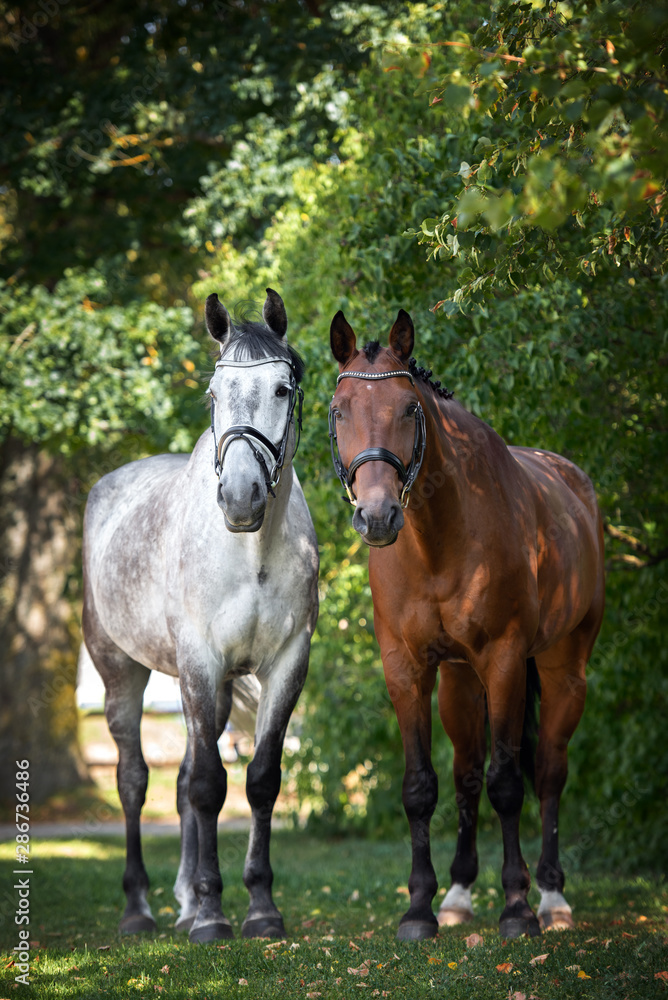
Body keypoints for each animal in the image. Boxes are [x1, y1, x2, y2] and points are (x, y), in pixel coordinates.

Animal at [82, 289, 318, 943]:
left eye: (282, 390)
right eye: (214, 394)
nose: (240, 499)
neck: (249, 552)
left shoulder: (286, 664)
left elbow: (259, 781)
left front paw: (259, 908)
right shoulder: (199, 661)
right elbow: (211, 786)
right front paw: (214, 918)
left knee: (186, 775)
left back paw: (186, 899)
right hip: (122, 673)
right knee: (135, 780)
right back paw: (139, 909)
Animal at [328, 307, 605, 941]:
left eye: (410, 409)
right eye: (338, 410)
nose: (377, 516)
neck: (439, 538)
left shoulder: (504, 661)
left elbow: (509, 784)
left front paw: (517, 908)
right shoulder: (406, 669)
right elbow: (422, 786)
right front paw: (419, 909)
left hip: (563, 671)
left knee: (548, 772)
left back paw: (552, 898)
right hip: (458, 682)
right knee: (467, 774)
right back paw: (458, 893)